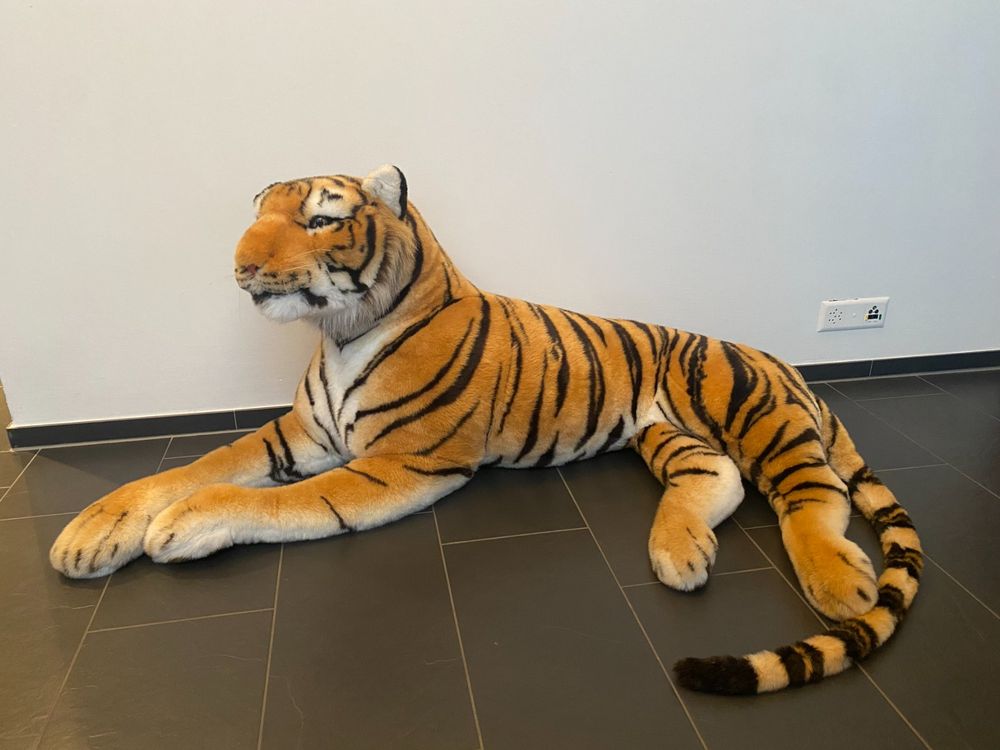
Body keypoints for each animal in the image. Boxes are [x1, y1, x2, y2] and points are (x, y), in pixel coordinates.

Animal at [49, 164, 922, 694]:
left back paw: (840, 583)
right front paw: (93, 532)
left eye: (322, 220)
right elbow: (190, 466)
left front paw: (181, 526)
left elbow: (267, 502)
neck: (336, 334)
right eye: (261, 213)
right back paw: (682, 554)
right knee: (721, 480)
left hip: (748, 408)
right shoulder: (303, 434)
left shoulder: (396, 463)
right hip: (669, 435)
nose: (243, 267)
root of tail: (781, 360)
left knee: (811, 495)